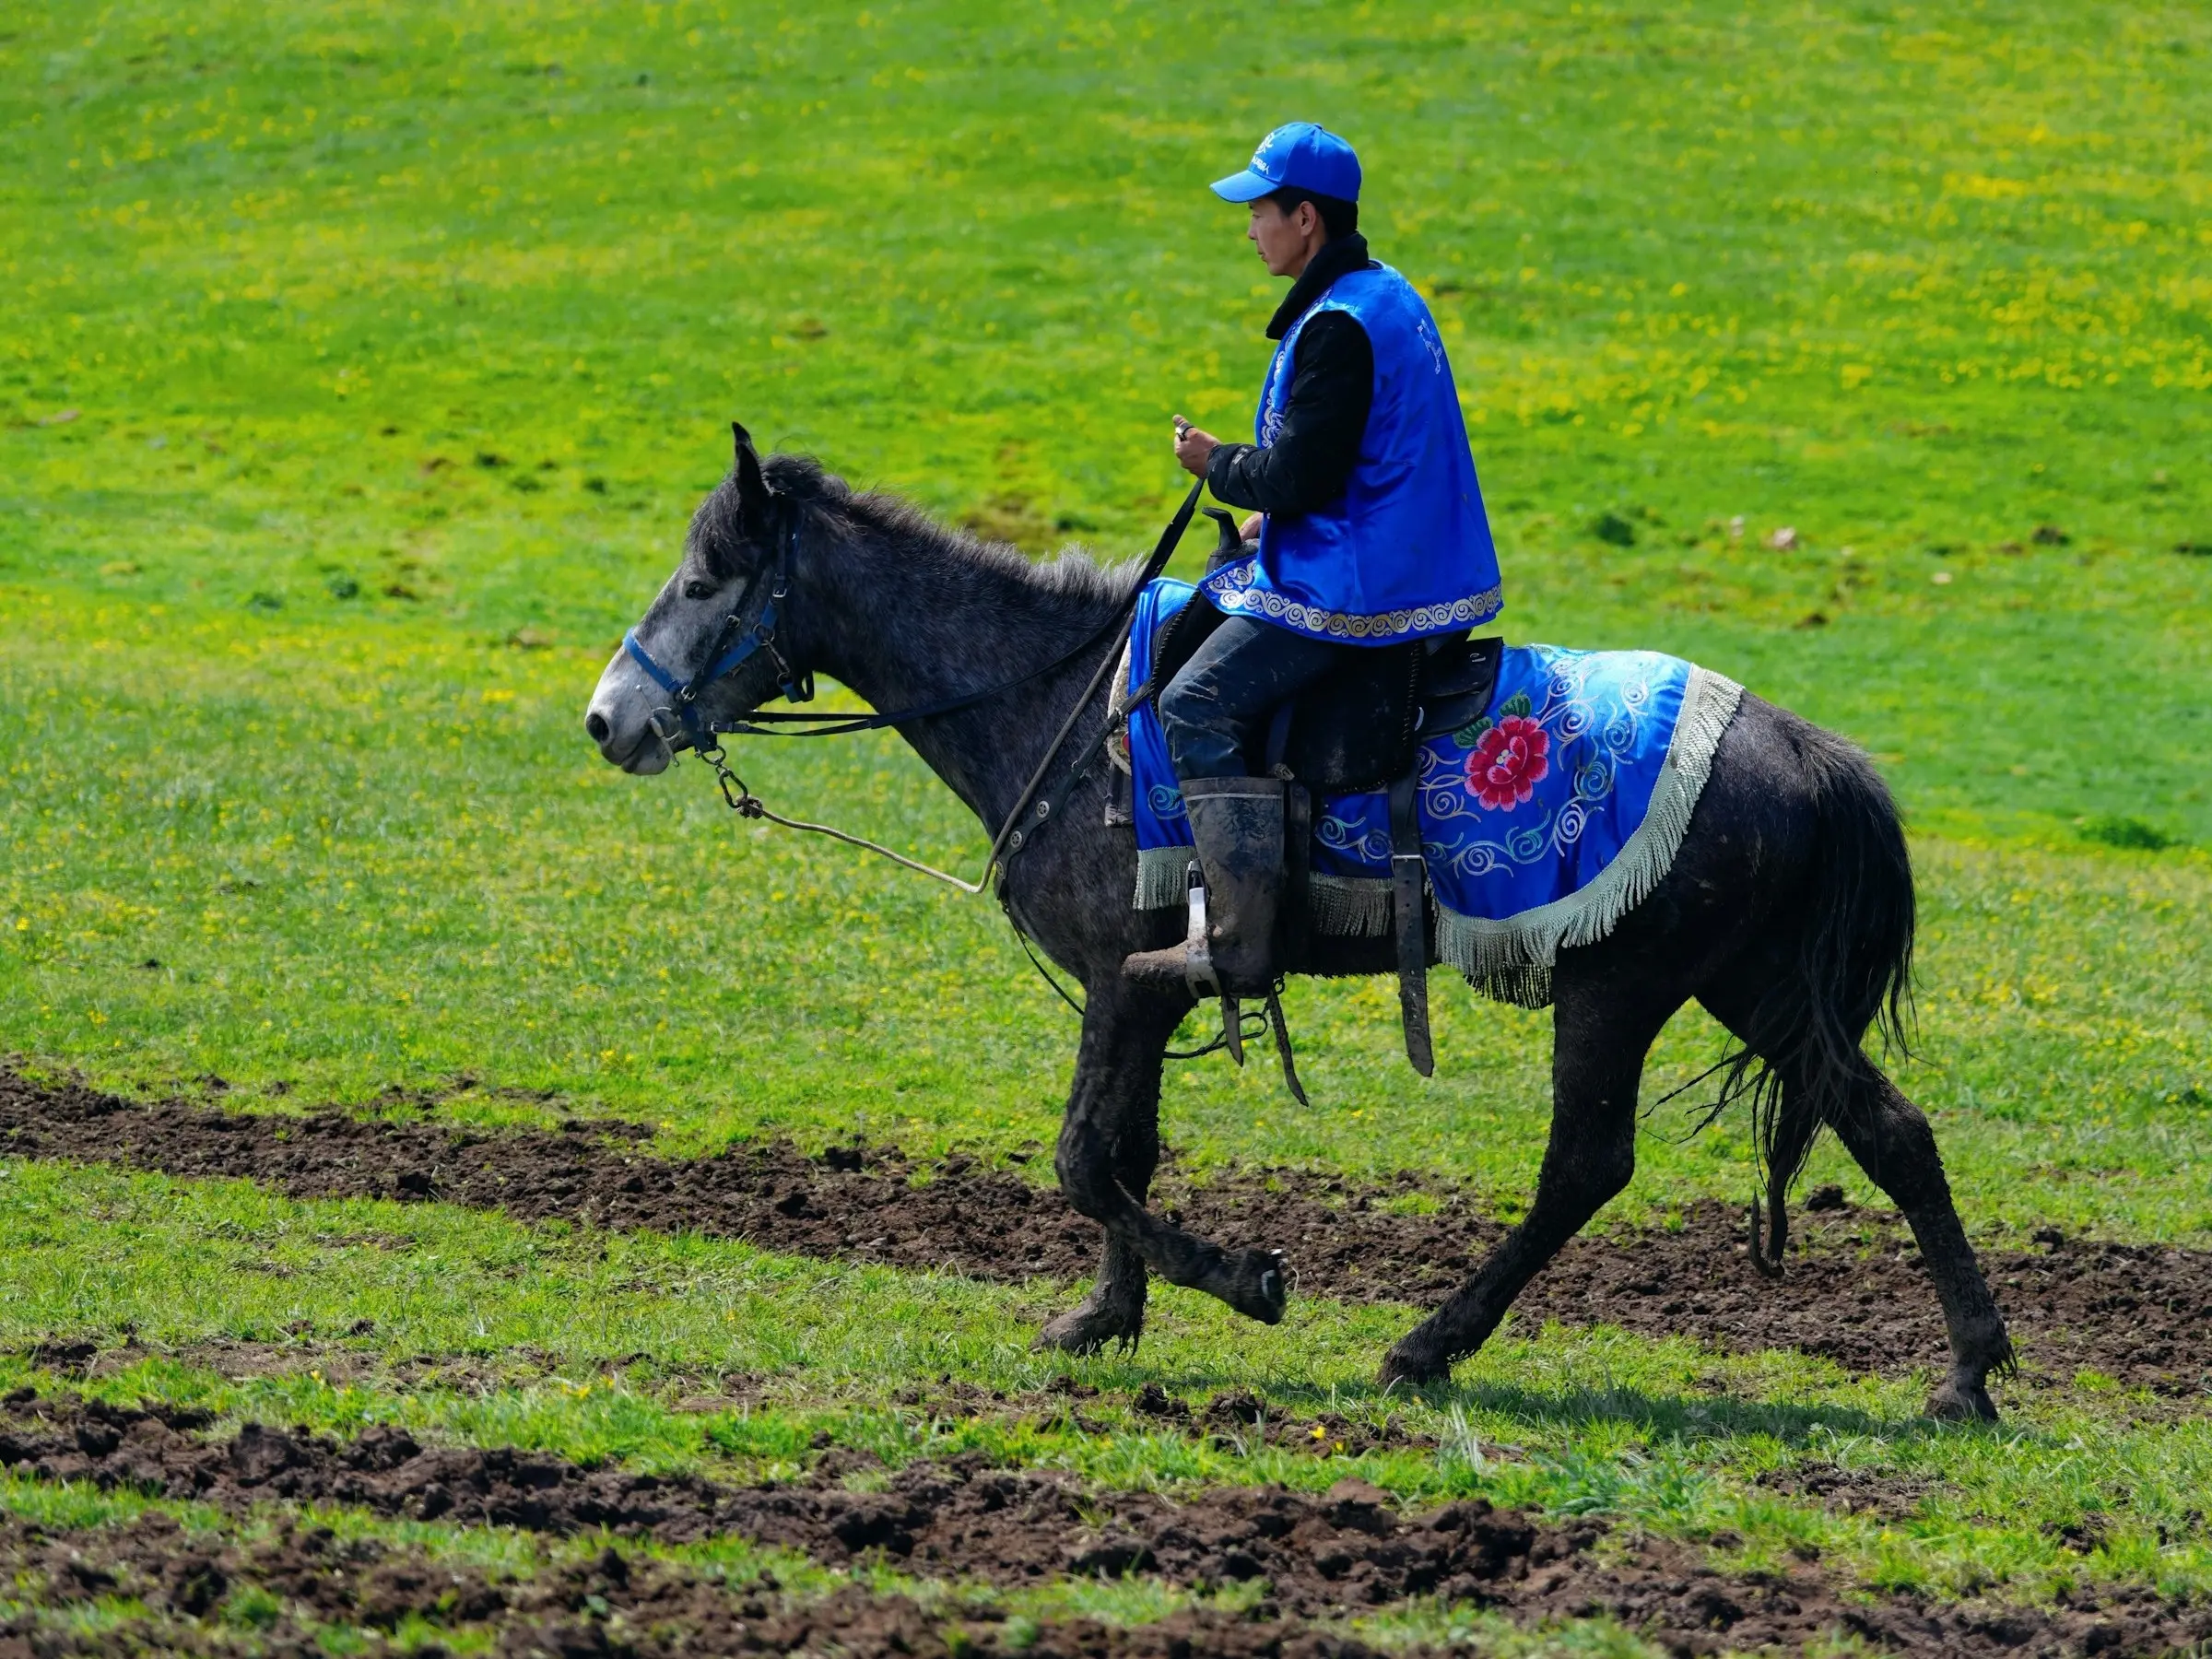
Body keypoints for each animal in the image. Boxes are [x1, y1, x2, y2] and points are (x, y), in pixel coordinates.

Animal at [584, 426, 2016, 1420]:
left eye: (708, 580)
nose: (610, 720)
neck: (1071, 706)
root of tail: (1801, 749)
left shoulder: (1132, 975)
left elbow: (1085, 1155)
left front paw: (1240, 1282)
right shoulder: (1134, 988)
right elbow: (1124, 1151)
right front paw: (1106, 1317)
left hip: (1623, 987)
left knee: (1584, 1167)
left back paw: (1427, 1346)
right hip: (1755, 986)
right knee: (1891, 1132)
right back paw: (1969, 1373)